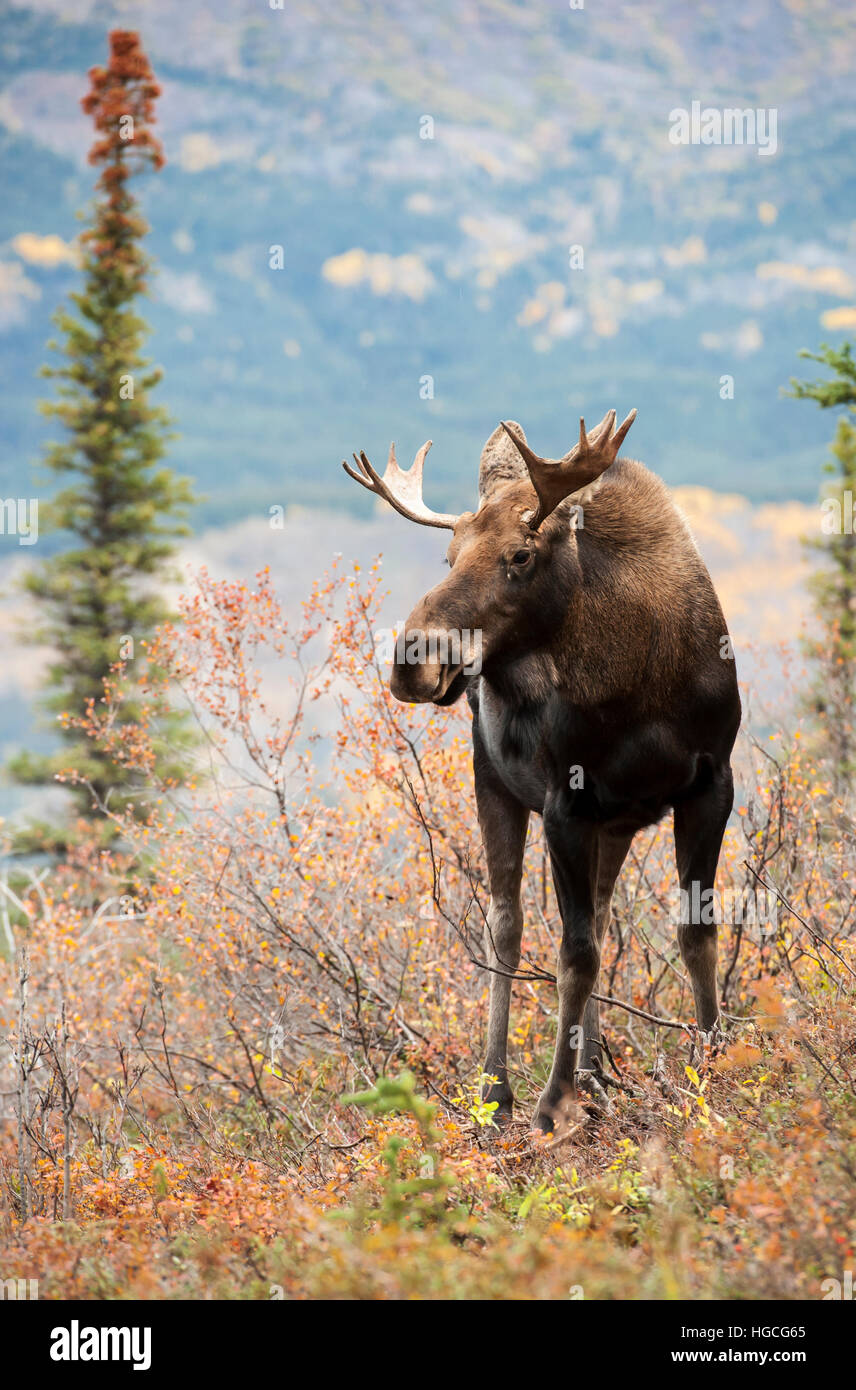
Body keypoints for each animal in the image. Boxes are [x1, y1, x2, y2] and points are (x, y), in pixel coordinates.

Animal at [343, 410, 741, 1133]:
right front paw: (552, 1102)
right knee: (506, 924)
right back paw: (498, 1089)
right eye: (448, 557)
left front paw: (712, 1058)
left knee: (603, 916)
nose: (412, 659)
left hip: (618, 824)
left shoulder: (710, 783)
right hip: (494, 782)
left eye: (520, 555)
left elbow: (693, 929)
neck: (637, 680)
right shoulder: (565, 803)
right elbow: (573, 954)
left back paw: (594, 1074)